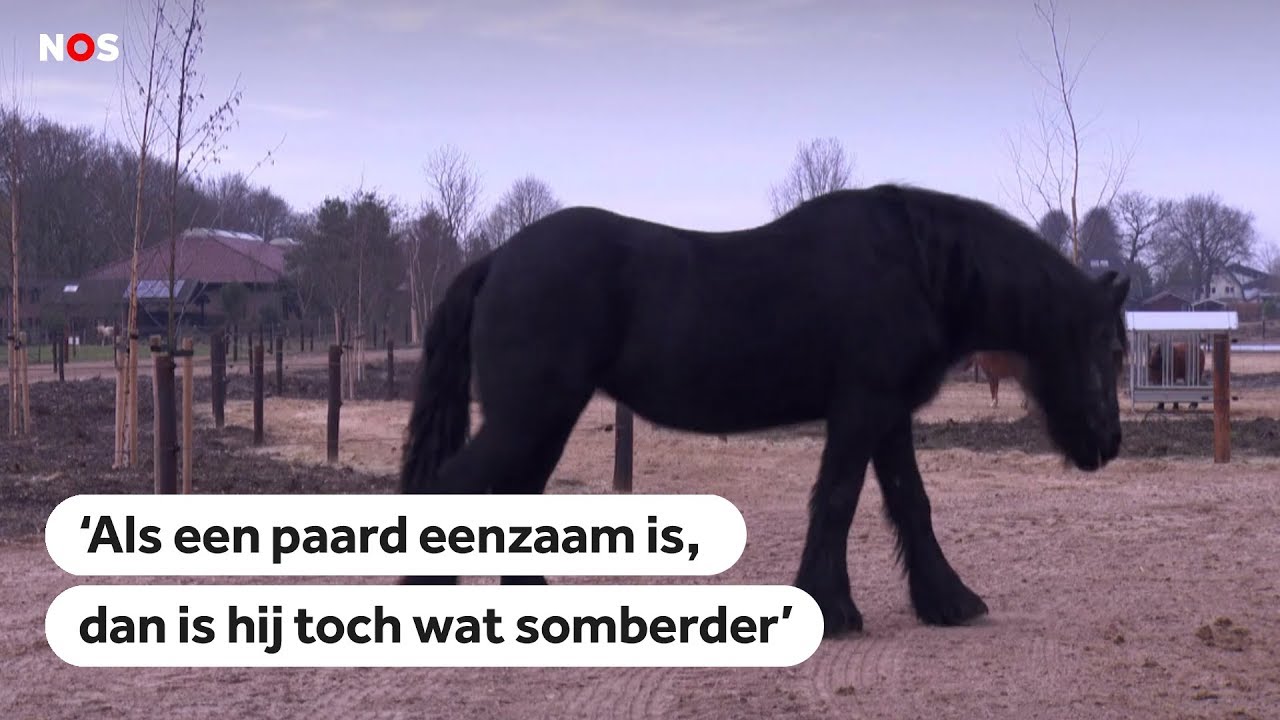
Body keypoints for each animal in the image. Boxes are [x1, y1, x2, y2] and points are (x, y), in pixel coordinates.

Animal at [399, 184, 1130, 638]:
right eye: (1110, 348)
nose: (1108, 445)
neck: (917, 268)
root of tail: (497, 258)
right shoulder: (861, 408)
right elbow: (837, 500)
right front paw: (832, 609)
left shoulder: (889, 415)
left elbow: (909, 502)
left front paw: (948, 601)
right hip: (528, 417)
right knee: (453, 490)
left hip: (544, 419)